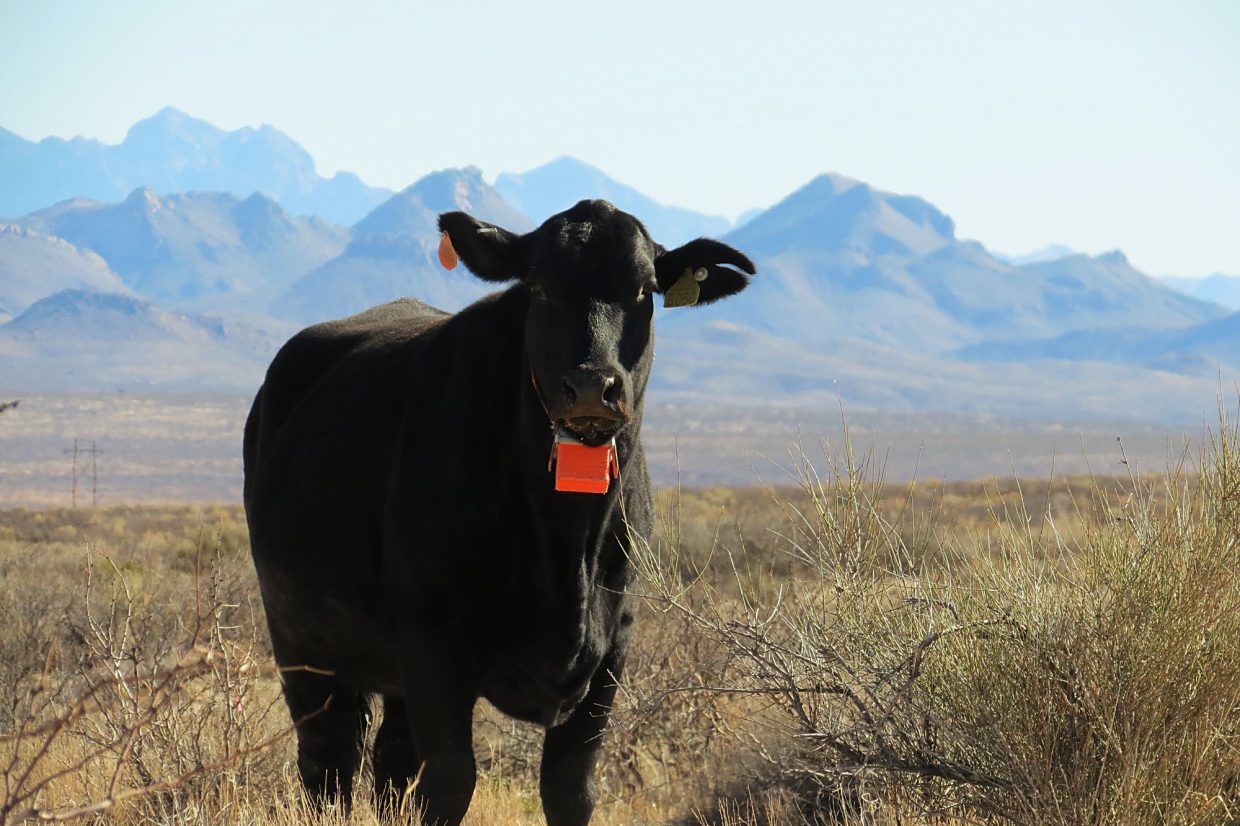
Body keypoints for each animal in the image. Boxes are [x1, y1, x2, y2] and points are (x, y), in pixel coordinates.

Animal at [242, 199, 754, 825]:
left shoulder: (614, 649)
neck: (566, 552)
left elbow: (571, 790)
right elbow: (449, 783)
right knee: (329, 764)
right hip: (302, 642)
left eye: (643, 289)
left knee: (389, 762)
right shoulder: (434, 646)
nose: (591, 386)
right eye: (538, 285)